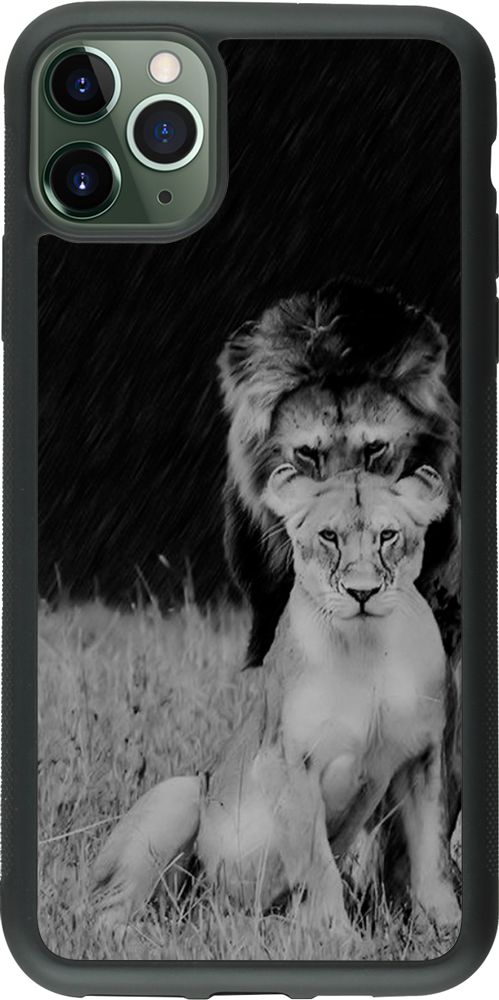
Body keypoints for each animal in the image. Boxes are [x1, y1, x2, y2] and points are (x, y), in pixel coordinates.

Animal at [93, 465, 460, 942]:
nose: (362, 593)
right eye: (328, 536)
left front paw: (445, 926)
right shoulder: (286, 761)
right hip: (180, 793)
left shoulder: (423, 758)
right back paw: (147, 939)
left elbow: (432, 854)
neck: (366, 647)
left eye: (387, 535)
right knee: (107, 909)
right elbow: (316, 862)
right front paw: (334, 936)